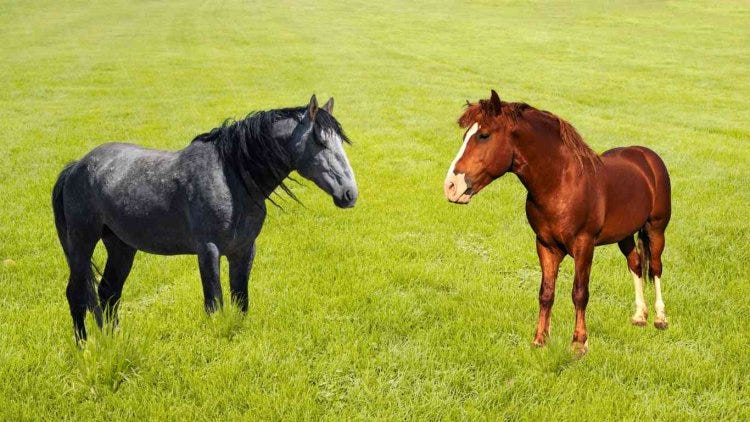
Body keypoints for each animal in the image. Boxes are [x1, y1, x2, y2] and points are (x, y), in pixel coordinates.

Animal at [52, 95, 358, 342]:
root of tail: (76, 167)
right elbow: (215, 303)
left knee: (108, 293)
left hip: (121, 247)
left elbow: (240, 300)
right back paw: (86, 347)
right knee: (76, 293)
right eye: (320, 141)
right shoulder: (208, 251)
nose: (349, 193)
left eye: (340, 142)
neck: (231, 177)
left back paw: (113, 338)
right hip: (82, 243)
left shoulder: (243, 251)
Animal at [444, 90, 671, 353]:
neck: (560, 183)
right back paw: (639, 316)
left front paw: (579, 343)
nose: (451, 187)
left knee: (655, 268)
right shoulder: (546, 245)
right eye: (465, 136)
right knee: (635, 264)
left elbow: (580, 293)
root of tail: (647, 157)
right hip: (624, 234)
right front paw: (540, 339)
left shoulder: (584, 246)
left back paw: (660, 319)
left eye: (484, 135)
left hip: (656, 229)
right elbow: (546, 292)